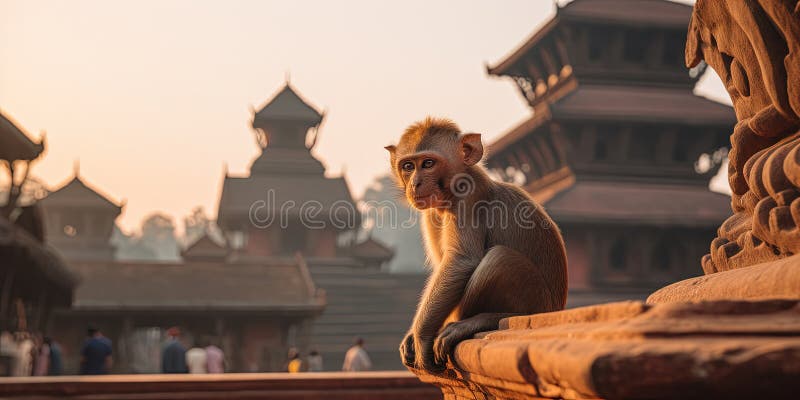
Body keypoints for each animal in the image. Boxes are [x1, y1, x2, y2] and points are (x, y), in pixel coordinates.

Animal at [385, 117, 568, 372]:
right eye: (408, 166)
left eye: (428, 163)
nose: (415, 184)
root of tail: (556, 307)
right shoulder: (430, 212)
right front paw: (414, 334)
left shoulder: (469, 195)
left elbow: (461, 261)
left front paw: (421, 336)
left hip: (538, 300)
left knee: (499, 257)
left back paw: (486, 318)